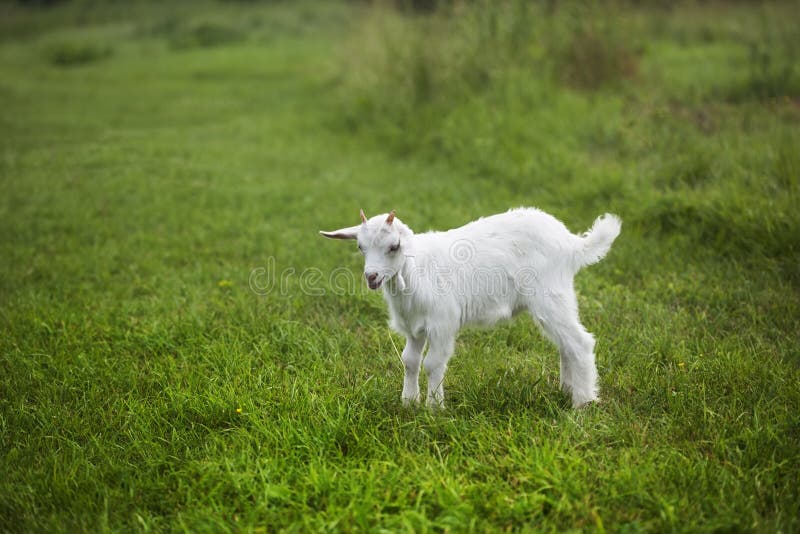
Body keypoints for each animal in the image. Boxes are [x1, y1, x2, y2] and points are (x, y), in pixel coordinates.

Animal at [320, 208, 621, 409]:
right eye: (361, 247)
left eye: (394, 246)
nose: (371, 277)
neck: (415, 271)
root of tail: (572, 243)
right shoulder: (414, 327)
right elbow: (410, 360)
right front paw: (409, 402)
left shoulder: (443, 323)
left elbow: (433, 363)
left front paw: (434, 408)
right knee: (566, 344)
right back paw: (567, 390)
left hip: (550, 296)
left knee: (580, 342)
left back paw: (581, 404)